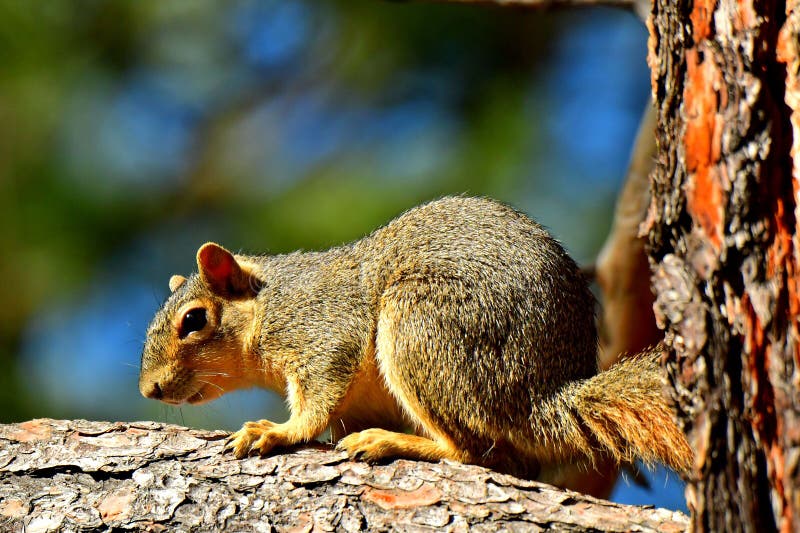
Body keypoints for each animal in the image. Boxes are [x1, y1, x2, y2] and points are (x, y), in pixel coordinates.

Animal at [139, 196, 692, 482]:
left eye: (194, 320)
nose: (150, 389)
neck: (270, 302)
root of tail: (544, 395)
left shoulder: (323, 328)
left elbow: (318, 394)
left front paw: (280, 430)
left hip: (424, 329)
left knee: (474, 451)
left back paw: (393, 442)